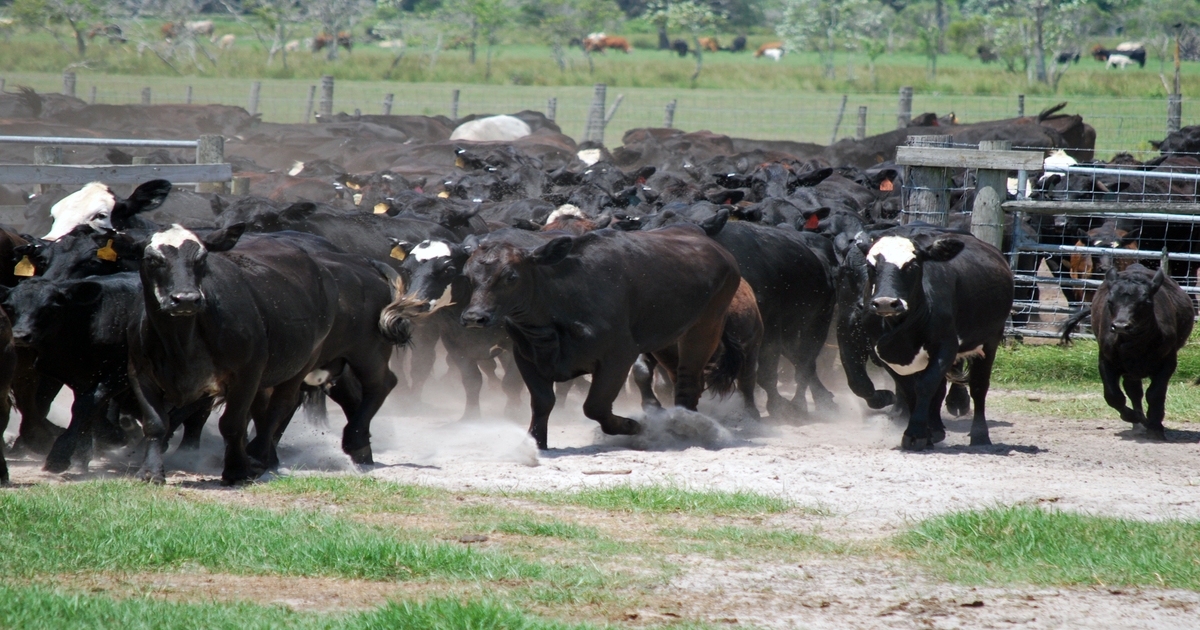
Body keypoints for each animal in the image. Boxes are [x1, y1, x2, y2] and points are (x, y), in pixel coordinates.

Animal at [458, 224, 743, 450]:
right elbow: (542, 402)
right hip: (667, 336)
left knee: (688, 380)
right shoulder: (526, 357)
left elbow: (594, 405)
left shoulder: (619, 356)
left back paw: (684, 427)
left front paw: (632, 426)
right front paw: (536, 441)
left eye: (511, 276)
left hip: (706, 326)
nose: (474, 317)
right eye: (468, 276)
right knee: (682, 377)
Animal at [861, 227, 1014, 450]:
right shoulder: (883, 352)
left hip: (990, 340)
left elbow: (925, 385)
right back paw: (935, 429)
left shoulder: (946, 346)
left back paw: (980, 436)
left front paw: (915, 433)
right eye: (870, 266)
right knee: (940, 388)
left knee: (978, 386)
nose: (885, 303)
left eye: (912, 265)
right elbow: (910, 390)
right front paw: (926, 432)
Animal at [1062, 254, 1194, 440]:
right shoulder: (1105, 360)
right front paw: (1134, 417)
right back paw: (1138, 423)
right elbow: (1113, 396)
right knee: (1133, 391)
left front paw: (1155, 425)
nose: (1120, 325)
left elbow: (1155, 394)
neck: (1135, 348)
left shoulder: (1168, 361)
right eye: (1110, 301)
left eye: (1145, 302)